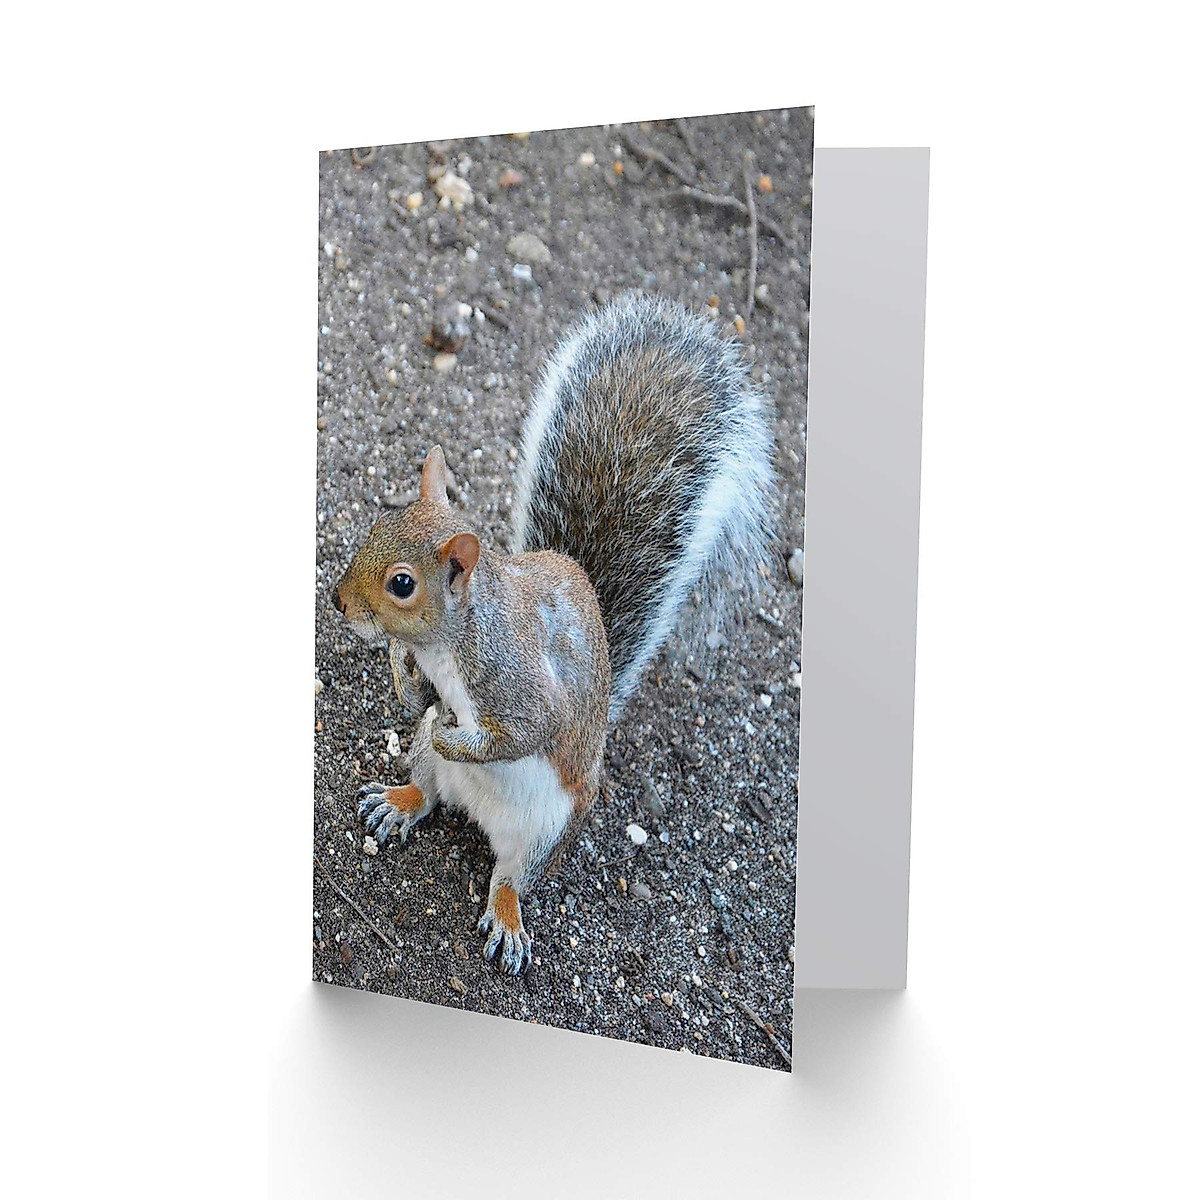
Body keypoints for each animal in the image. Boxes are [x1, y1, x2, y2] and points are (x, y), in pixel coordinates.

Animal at [333, 293, 776, 975]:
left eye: (402, 583)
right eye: (379, 523)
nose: (338, 601)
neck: (452, 642)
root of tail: (480, 815)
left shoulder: (518, 685)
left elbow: (521, 733)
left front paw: (458, 735)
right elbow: (420, 698)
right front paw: (404, 678)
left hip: (547, 829)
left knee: (511, 877)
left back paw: (507, 912)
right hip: (431, 771)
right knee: (430, 789)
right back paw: (402, 799)